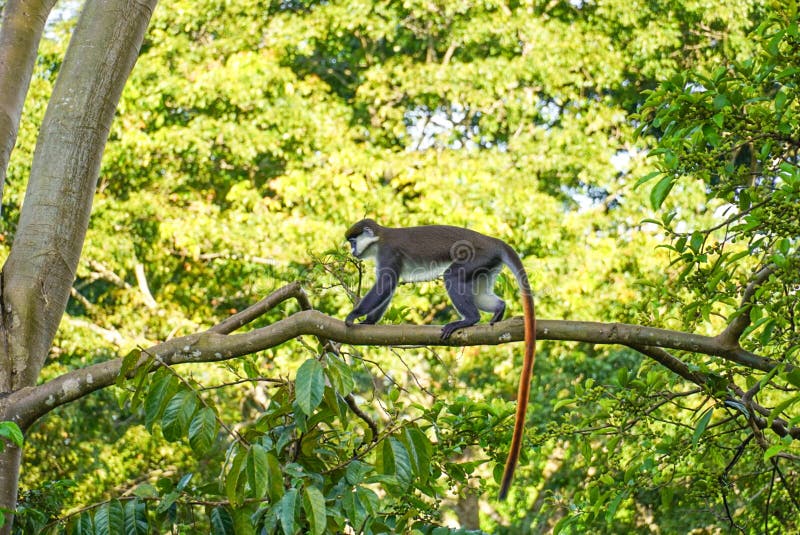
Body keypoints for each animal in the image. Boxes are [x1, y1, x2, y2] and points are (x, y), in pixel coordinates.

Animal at [344, 218, 536, 500]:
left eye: (353, 240)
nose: (352, 251)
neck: (379, 239)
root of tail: (493, 241)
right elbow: (389, 287)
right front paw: (369, 322)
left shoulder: (388, 253)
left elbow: (386, 284)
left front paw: (354, 315)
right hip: (486, 266)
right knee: (482, 292)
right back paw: (498, 311)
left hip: (477, 257)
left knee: (452, 277)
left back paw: (469, 319)